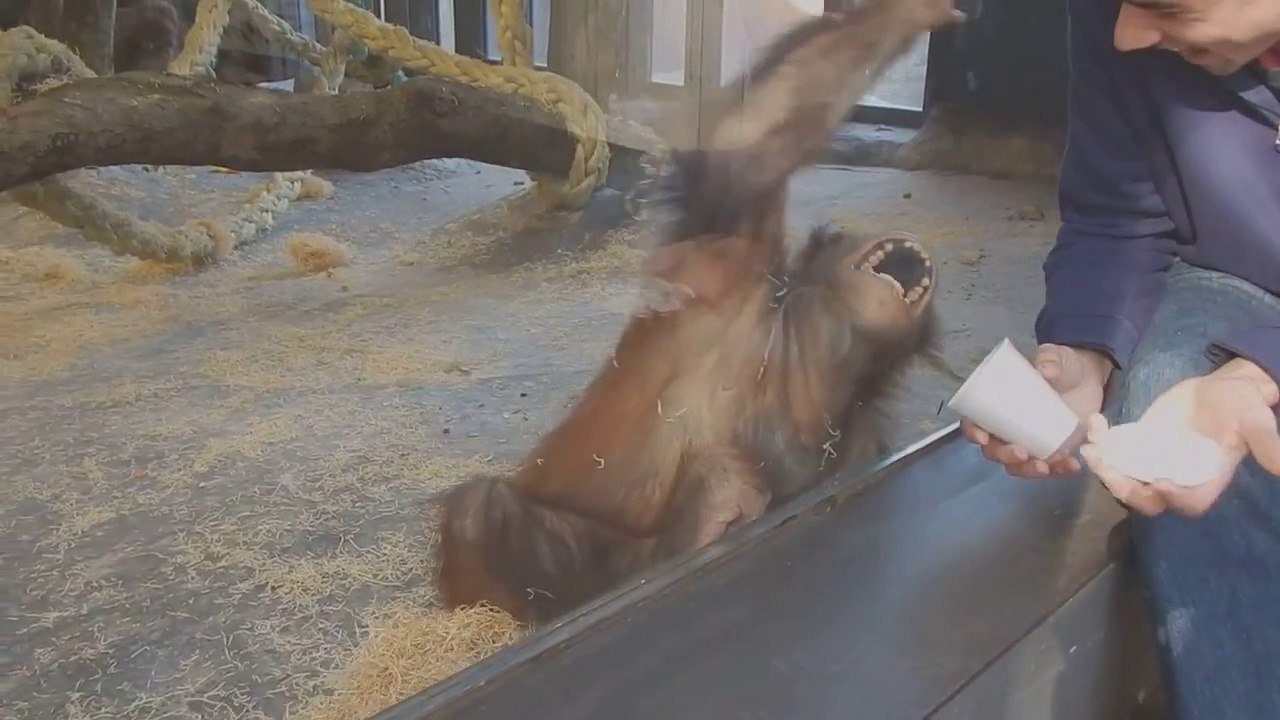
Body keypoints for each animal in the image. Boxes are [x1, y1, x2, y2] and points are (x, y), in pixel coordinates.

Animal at [436, 0, 967, 626]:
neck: (809, 352)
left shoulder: (862, 444)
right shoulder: (733, 264)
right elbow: (759, 136)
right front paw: (914, 12)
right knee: (483, 514)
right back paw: (700, 520)